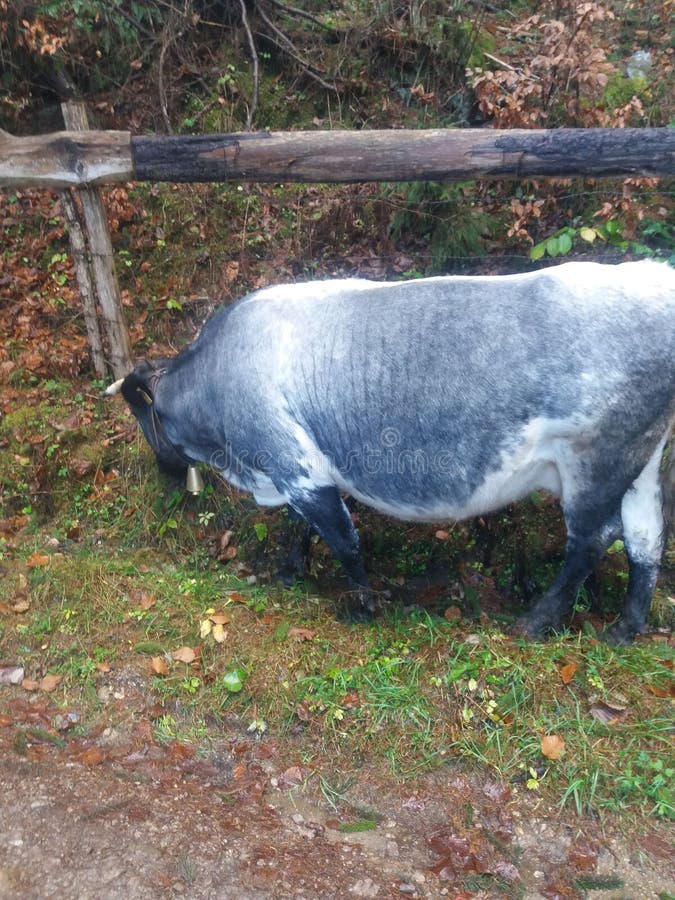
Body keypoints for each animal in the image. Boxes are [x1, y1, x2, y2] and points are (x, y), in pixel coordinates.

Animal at [106, 261, 675, 644]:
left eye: (141, 420)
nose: (162, 471)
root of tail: (652, 273)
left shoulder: (294, 463)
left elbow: (342, 540)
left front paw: (363, 605)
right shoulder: (298, 468)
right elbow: (302, 527)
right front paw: (291, 571)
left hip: (595, 458)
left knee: (593, 540)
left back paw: (535, 622)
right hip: (641, 462)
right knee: (646, 536)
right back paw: (625, 627)